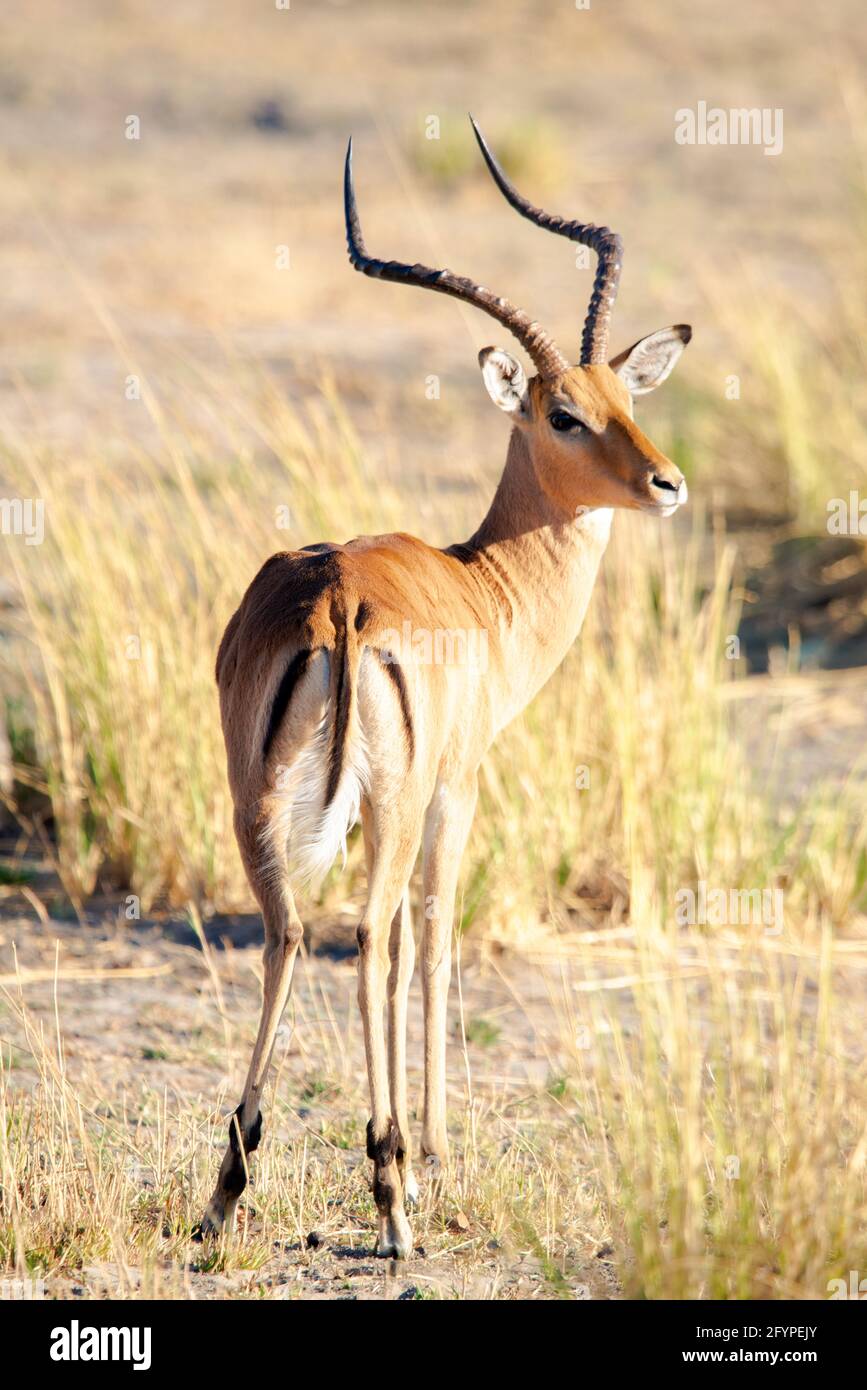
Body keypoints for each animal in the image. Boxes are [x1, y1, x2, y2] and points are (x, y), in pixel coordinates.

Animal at [201, 118, 691, 1257]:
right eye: (562, 414)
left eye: (626, 400)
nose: (667, 483)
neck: (483, 584)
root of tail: (338, 598)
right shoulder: (457, 791)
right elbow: (433, 936)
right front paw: (427, 1159)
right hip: (389, 800)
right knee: (373, 936)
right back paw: (388, 1190)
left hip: (257, 802)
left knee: (291, 931)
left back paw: (226, 1188)